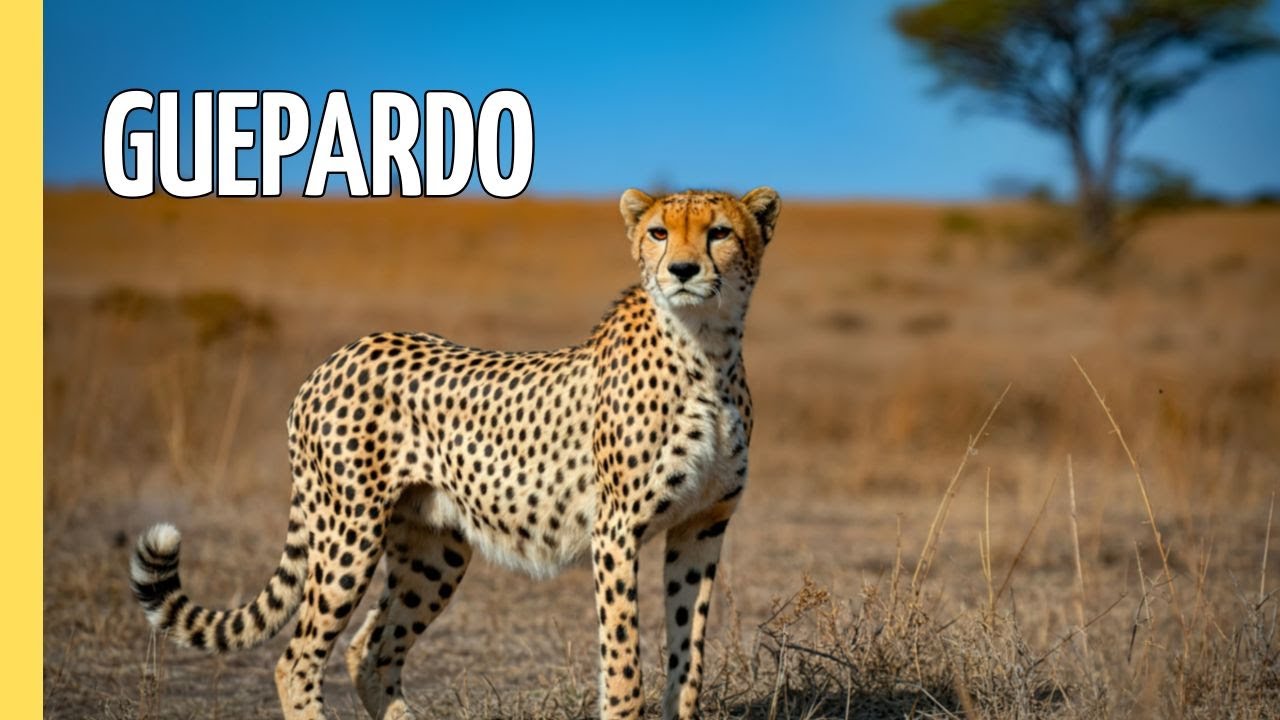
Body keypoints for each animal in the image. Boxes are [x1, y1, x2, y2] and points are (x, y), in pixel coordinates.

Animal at [129, 186, 781, 719]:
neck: (707, 350)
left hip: (433, 548)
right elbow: (624, 666)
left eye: (719, 232)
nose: (682, 270)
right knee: (299, 660)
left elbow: (687, 654)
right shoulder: (616, 532)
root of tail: (336, 356)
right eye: (659, 232)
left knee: (371, 650)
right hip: (349, 533)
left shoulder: (701, 526)